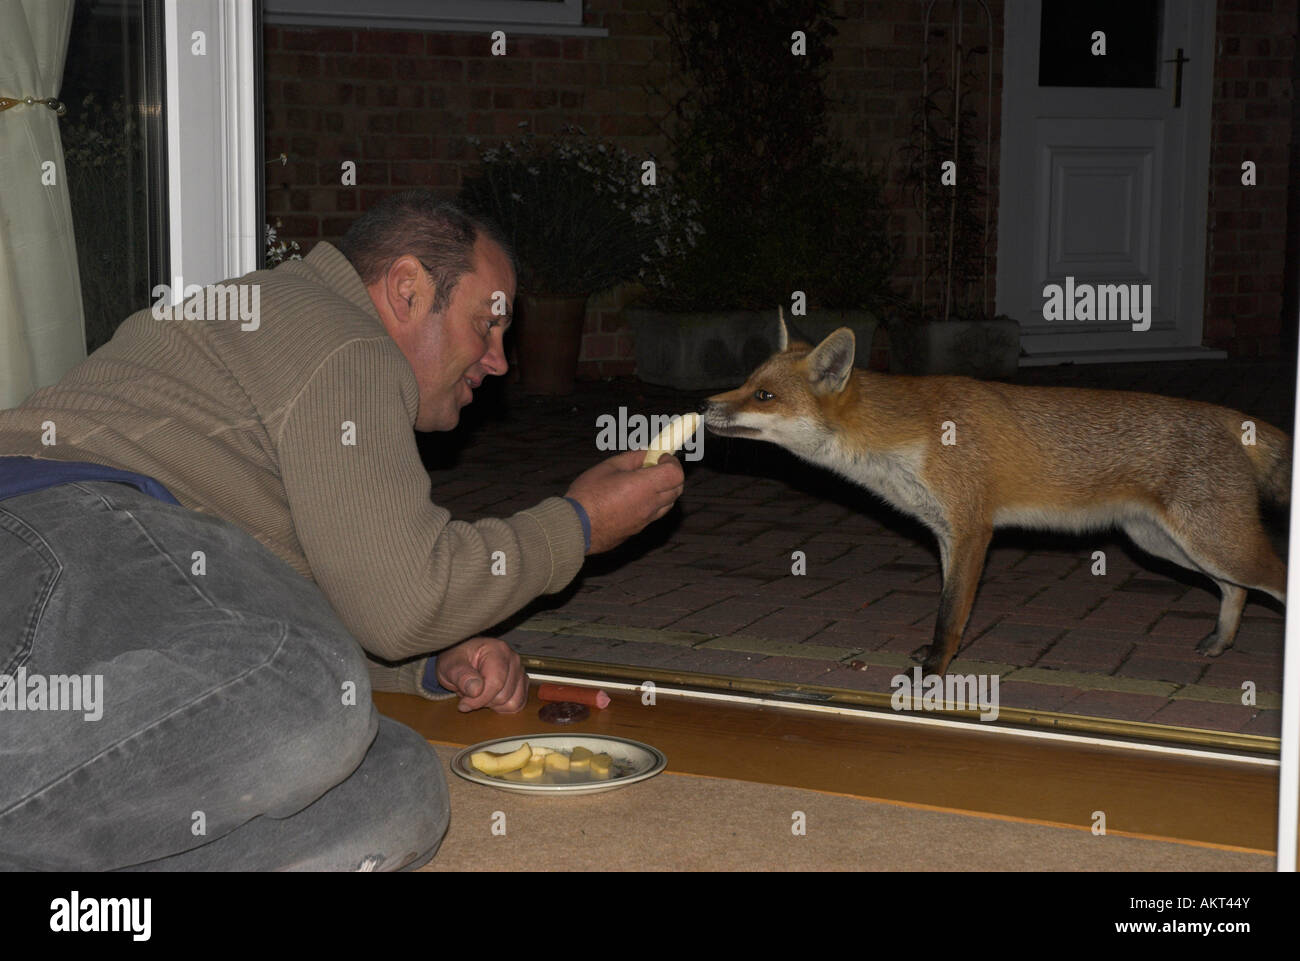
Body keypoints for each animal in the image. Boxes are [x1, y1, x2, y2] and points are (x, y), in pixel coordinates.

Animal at [701, 310, 1290, 676]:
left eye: (763, 395)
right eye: (746, 381)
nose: (705, 405)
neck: (905, 441)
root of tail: (1229, 417)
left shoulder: (971, 530)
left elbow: (951, 614)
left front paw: (934, 671)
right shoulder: (944, 534)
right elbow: (946, 605)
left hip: (1213, 543)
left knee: (1274, 580)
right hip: (1167, 545)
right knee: (1234, 590)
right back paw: (1221, 641)